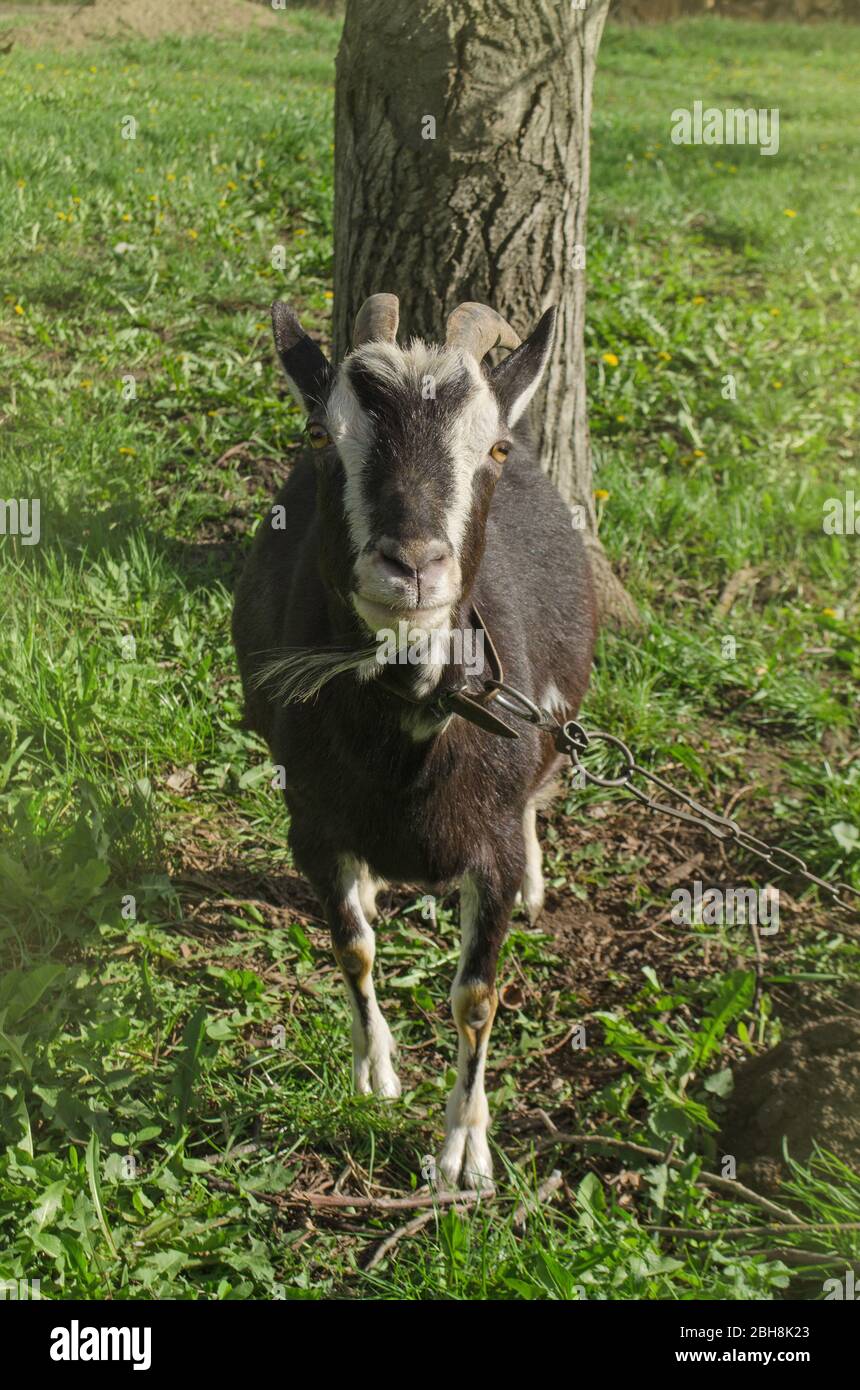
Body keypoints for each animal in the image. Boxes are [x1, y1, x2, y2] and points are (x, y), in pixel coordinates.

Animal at [232, 294, 596, 1188]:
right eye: (321, 433)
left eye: (492, 446)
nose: (414, 564)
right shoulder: (312, 821)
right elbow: (354, 948)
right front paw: (376, 1071)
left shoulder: (488, 843)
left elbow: (476, 996)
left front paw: (464, 1152)